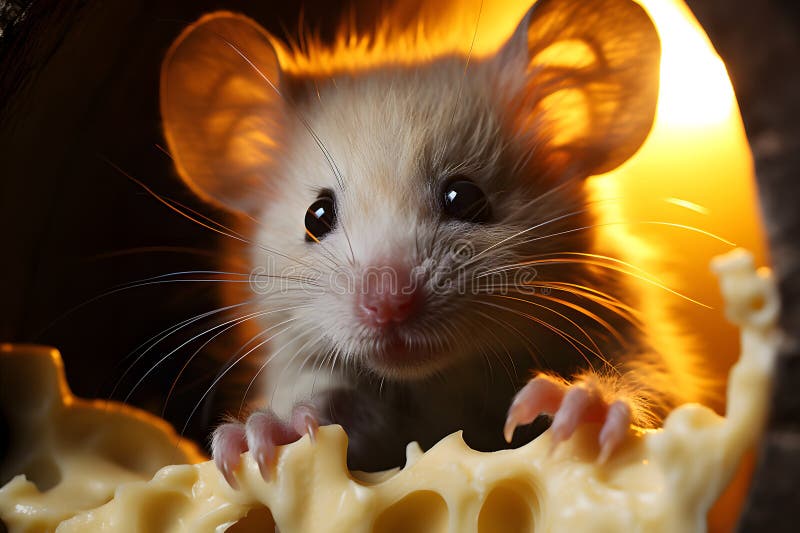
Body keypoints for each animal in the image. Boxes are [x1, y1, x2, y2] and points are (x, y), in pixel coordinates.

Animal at [160, 0, 708, 485]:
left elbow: (653, 384)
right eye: (316, 216)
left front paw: (584, 405)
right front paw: (267, 434)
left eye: (464, 197)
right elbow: (344, 418)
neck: (440, 378)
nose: (387, 308)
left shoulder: (628, 326)